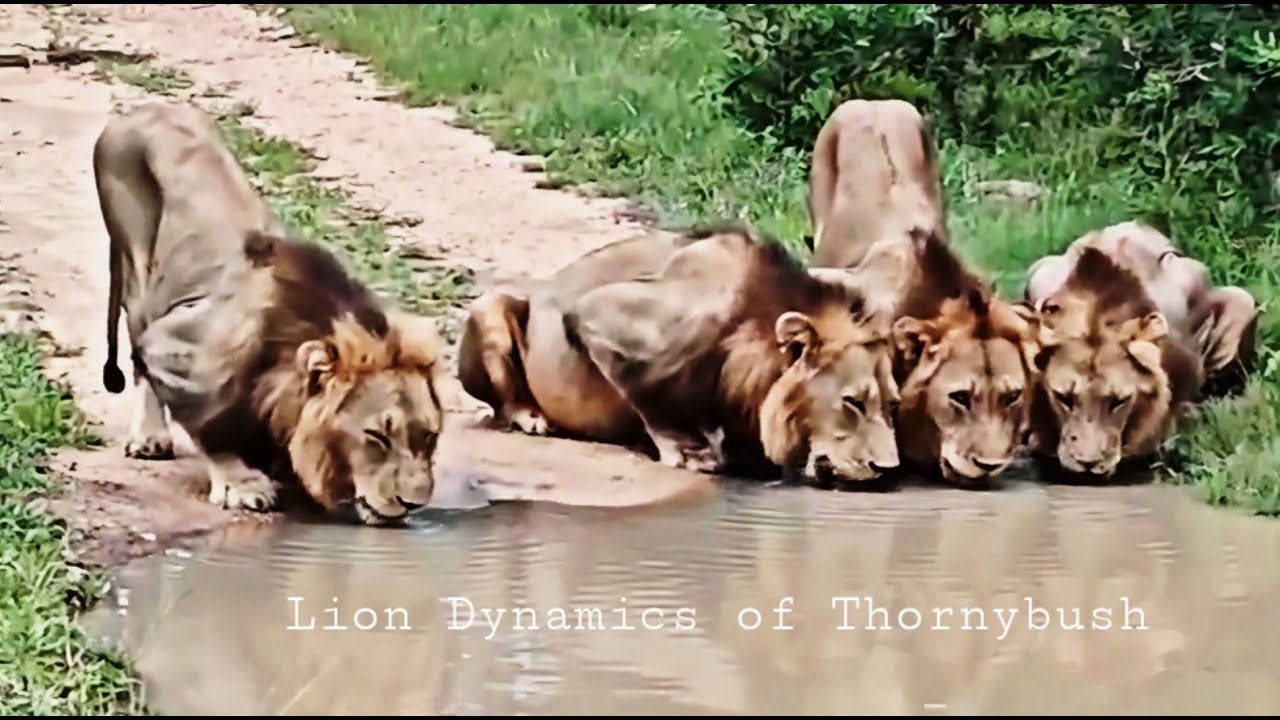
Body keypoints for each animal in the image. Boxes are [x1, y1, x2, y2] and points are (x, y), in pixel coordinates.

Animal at [95, 101, 444, 525]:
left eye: (428, 436)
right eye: (376, 436)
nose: (413, 504)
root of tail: (143, 108)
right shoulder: (181, 348)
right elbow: (210, 426)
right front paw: (244, 486)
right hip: (136, 267)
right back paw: (150, 438)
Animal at [458, 224, 903, 486]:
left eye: (892, 405)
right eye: (853, 402)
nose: (888, 470)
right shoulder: (600, 314)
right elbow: (650, 392)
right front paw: (691, 452)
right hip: (488, 306)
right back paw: (531, 416)